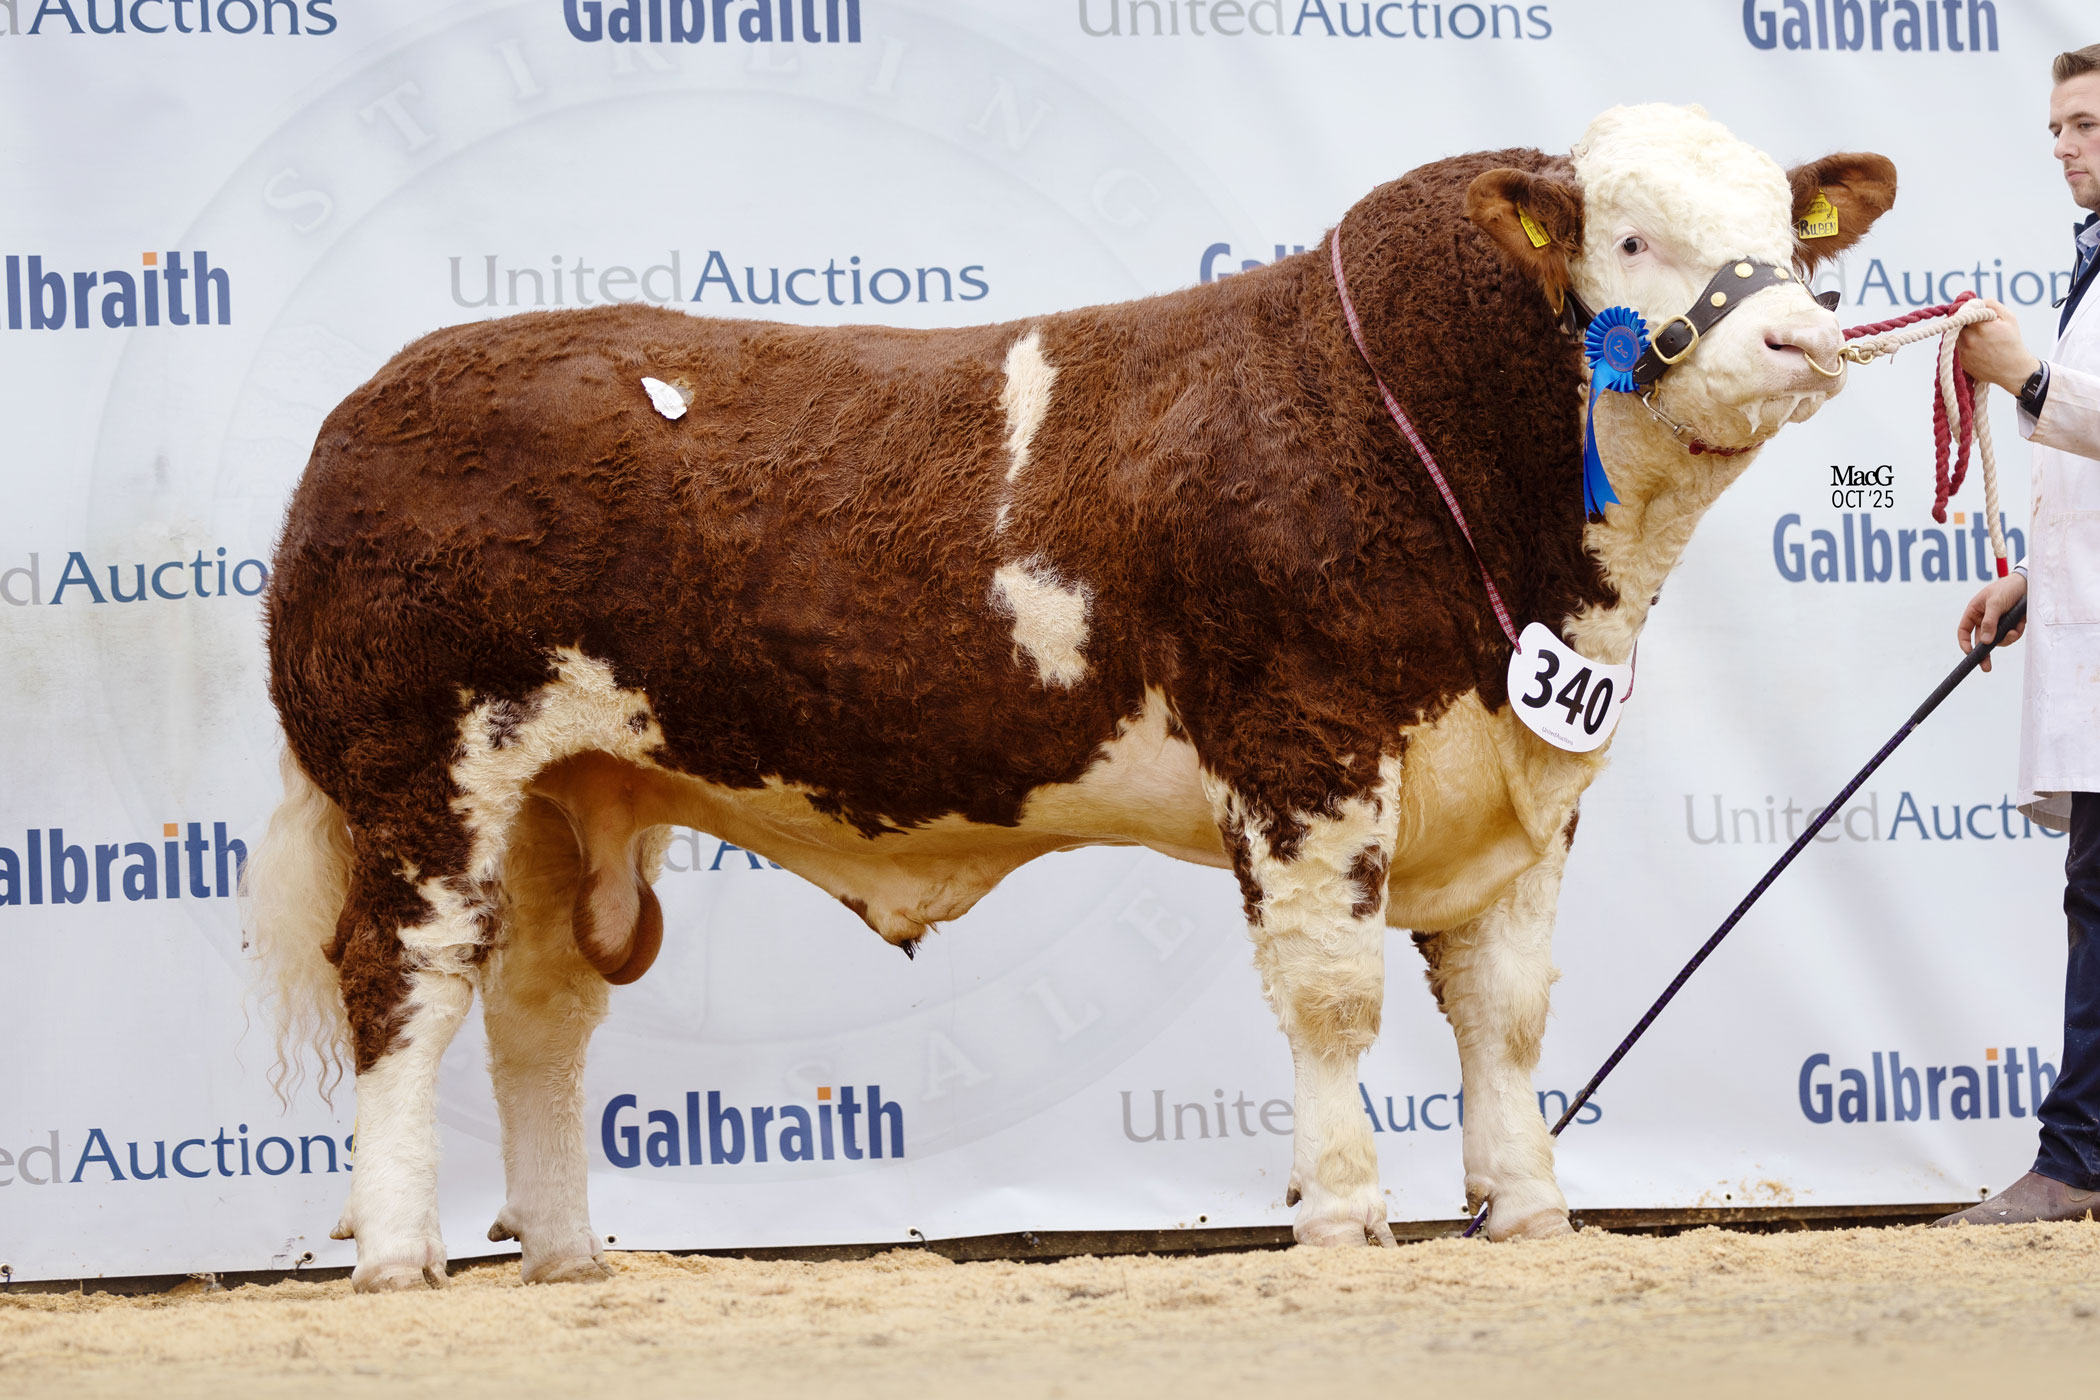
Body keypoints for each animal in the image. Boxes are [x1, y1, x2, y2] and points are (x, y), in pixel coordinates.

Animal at [247, 103, 1895, 1290]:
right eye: (1632, 234)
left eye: (1787, 235)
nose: (1805, 338)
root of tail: (366, 407)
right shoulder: (1300, 745)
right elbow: (1334, 993)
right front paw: (1344, 1212)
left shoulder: (1525, 780)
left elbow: (1512, 1009)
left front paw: (1532, 1207)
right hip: (420, 771)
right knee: (403, 981)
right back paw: (398, 1253)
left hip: (560, 791)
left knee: (535, 1012)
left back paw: (570, 1257)